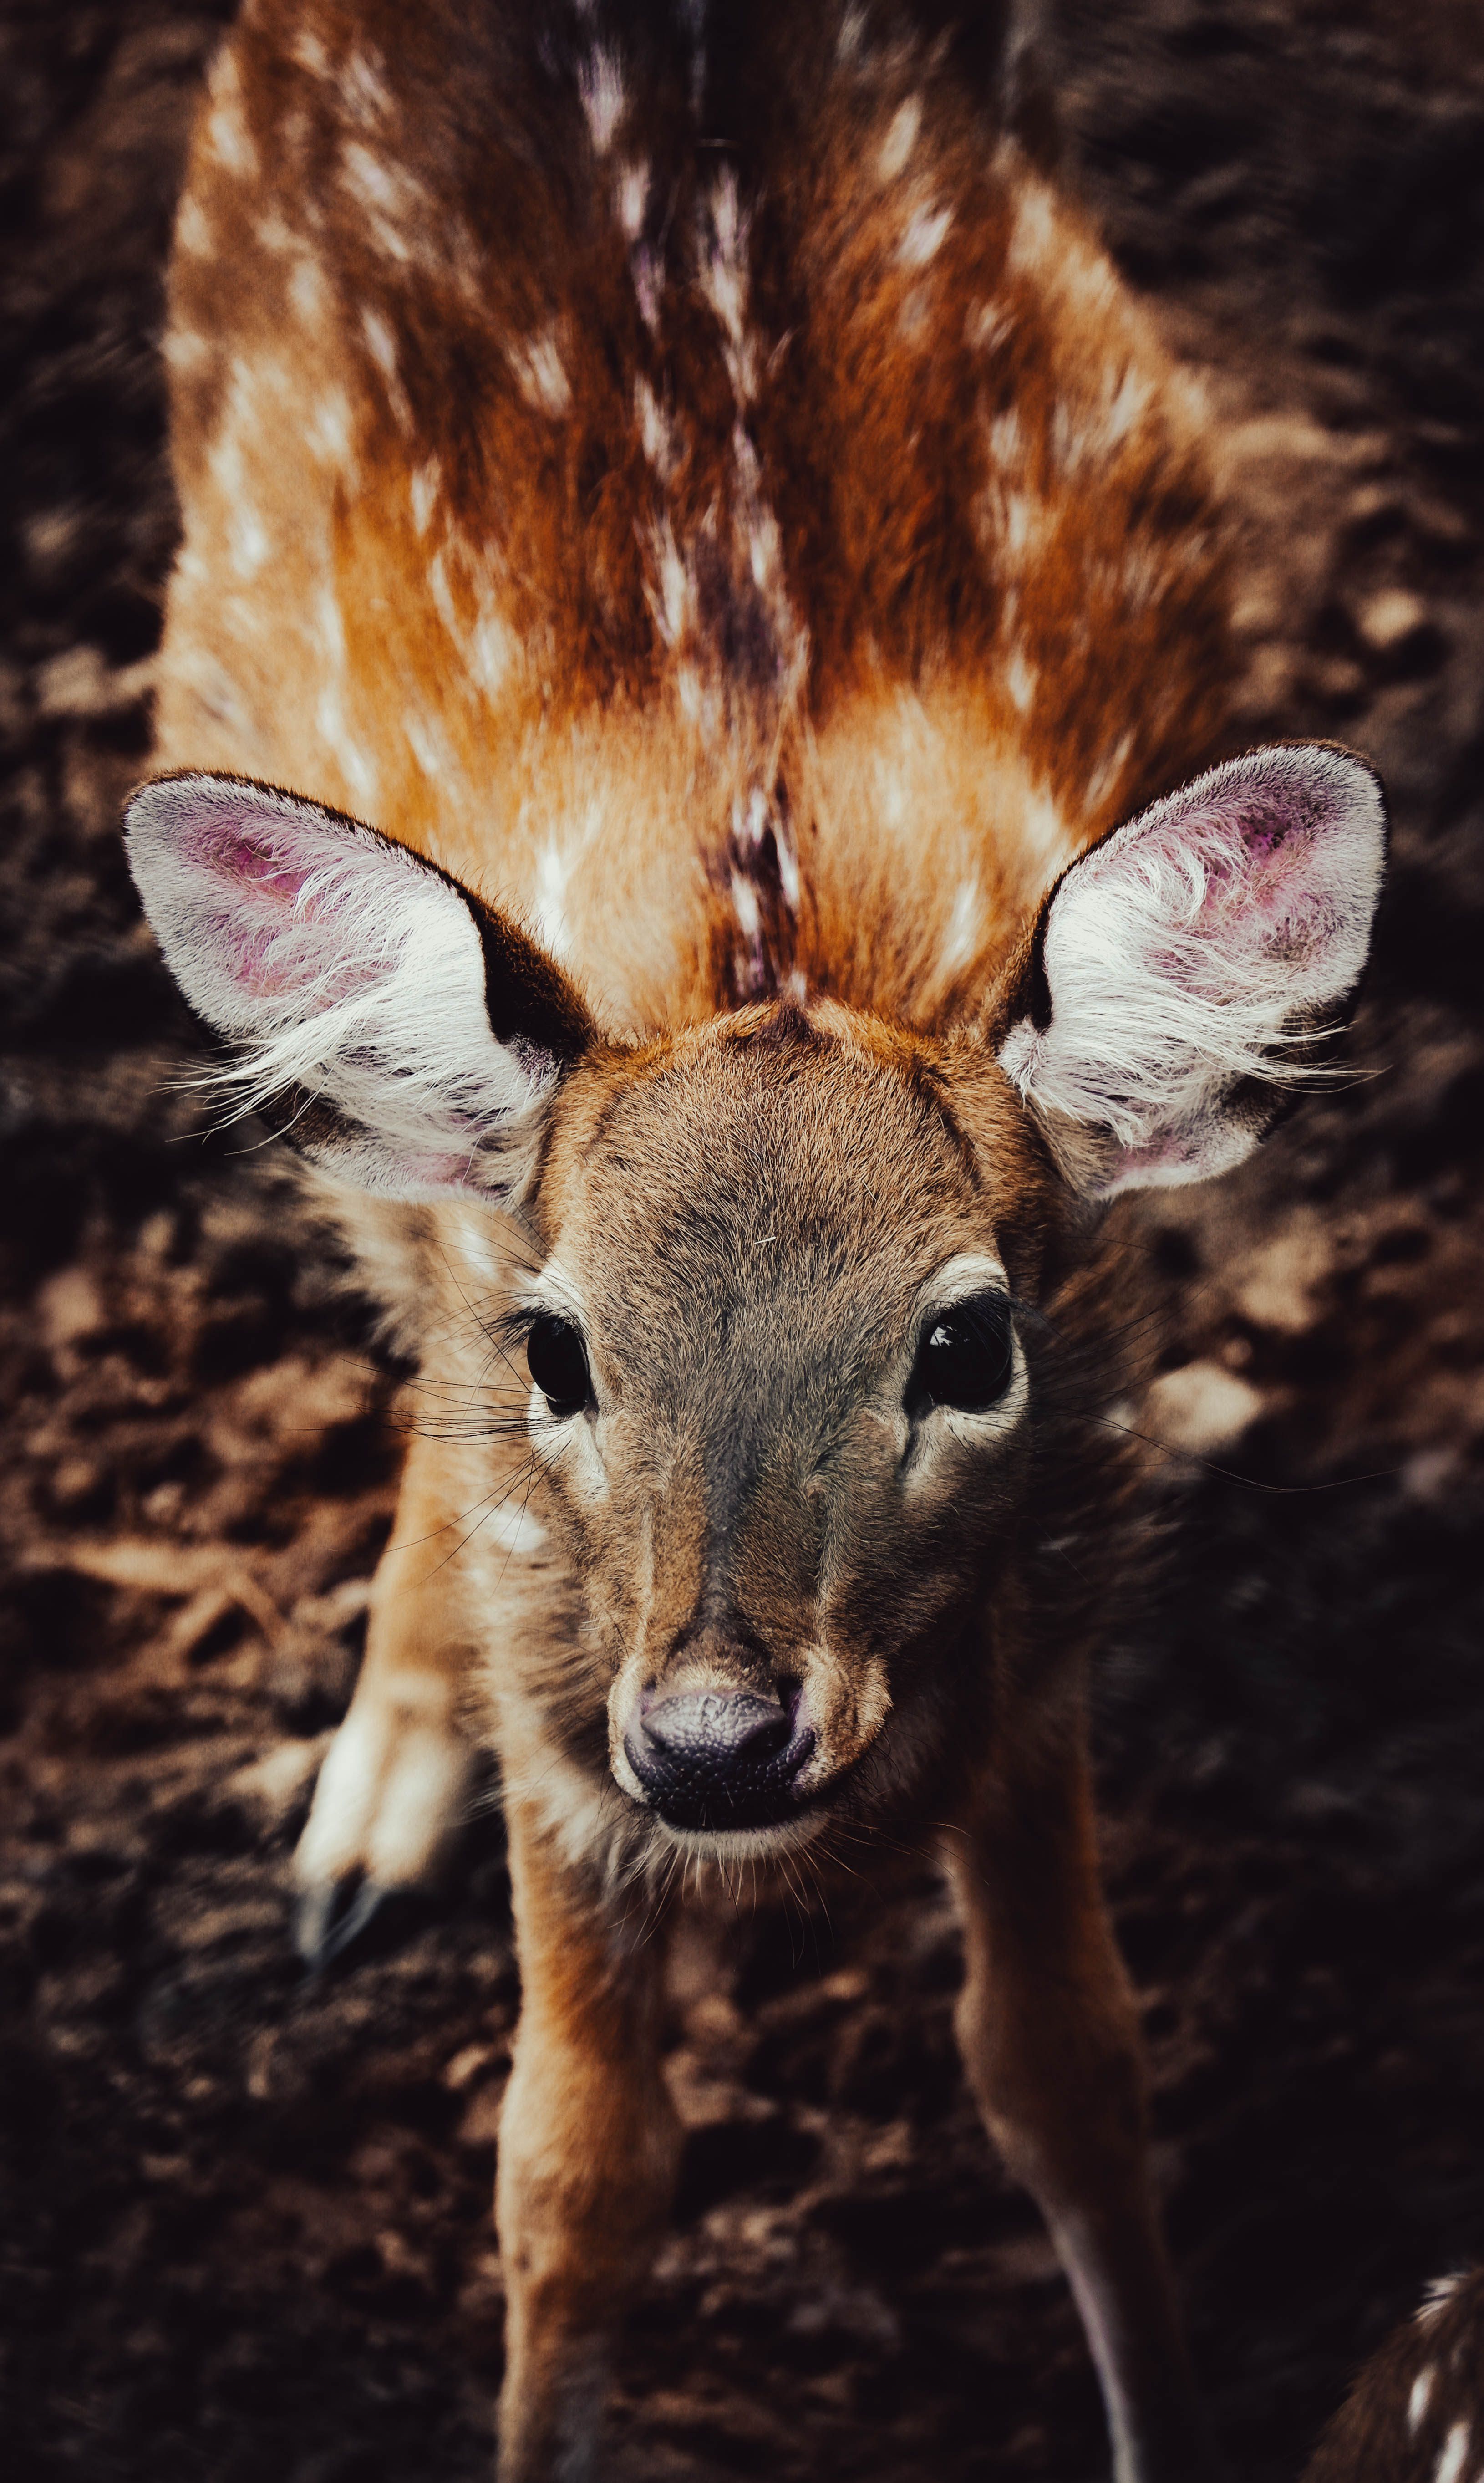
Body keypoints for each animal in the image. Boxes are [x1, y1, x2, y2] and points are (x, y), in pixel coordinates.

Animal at [123, 4, 1387, 2478]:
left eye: (969, 1342)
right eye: (565, 1349)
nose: (713, 1731)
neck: (768, 917)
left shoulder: (1054, 1597)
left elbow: (1070, 2070)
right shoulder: (566, 1679)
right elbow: (569, 2165)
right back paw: (358, 1806)